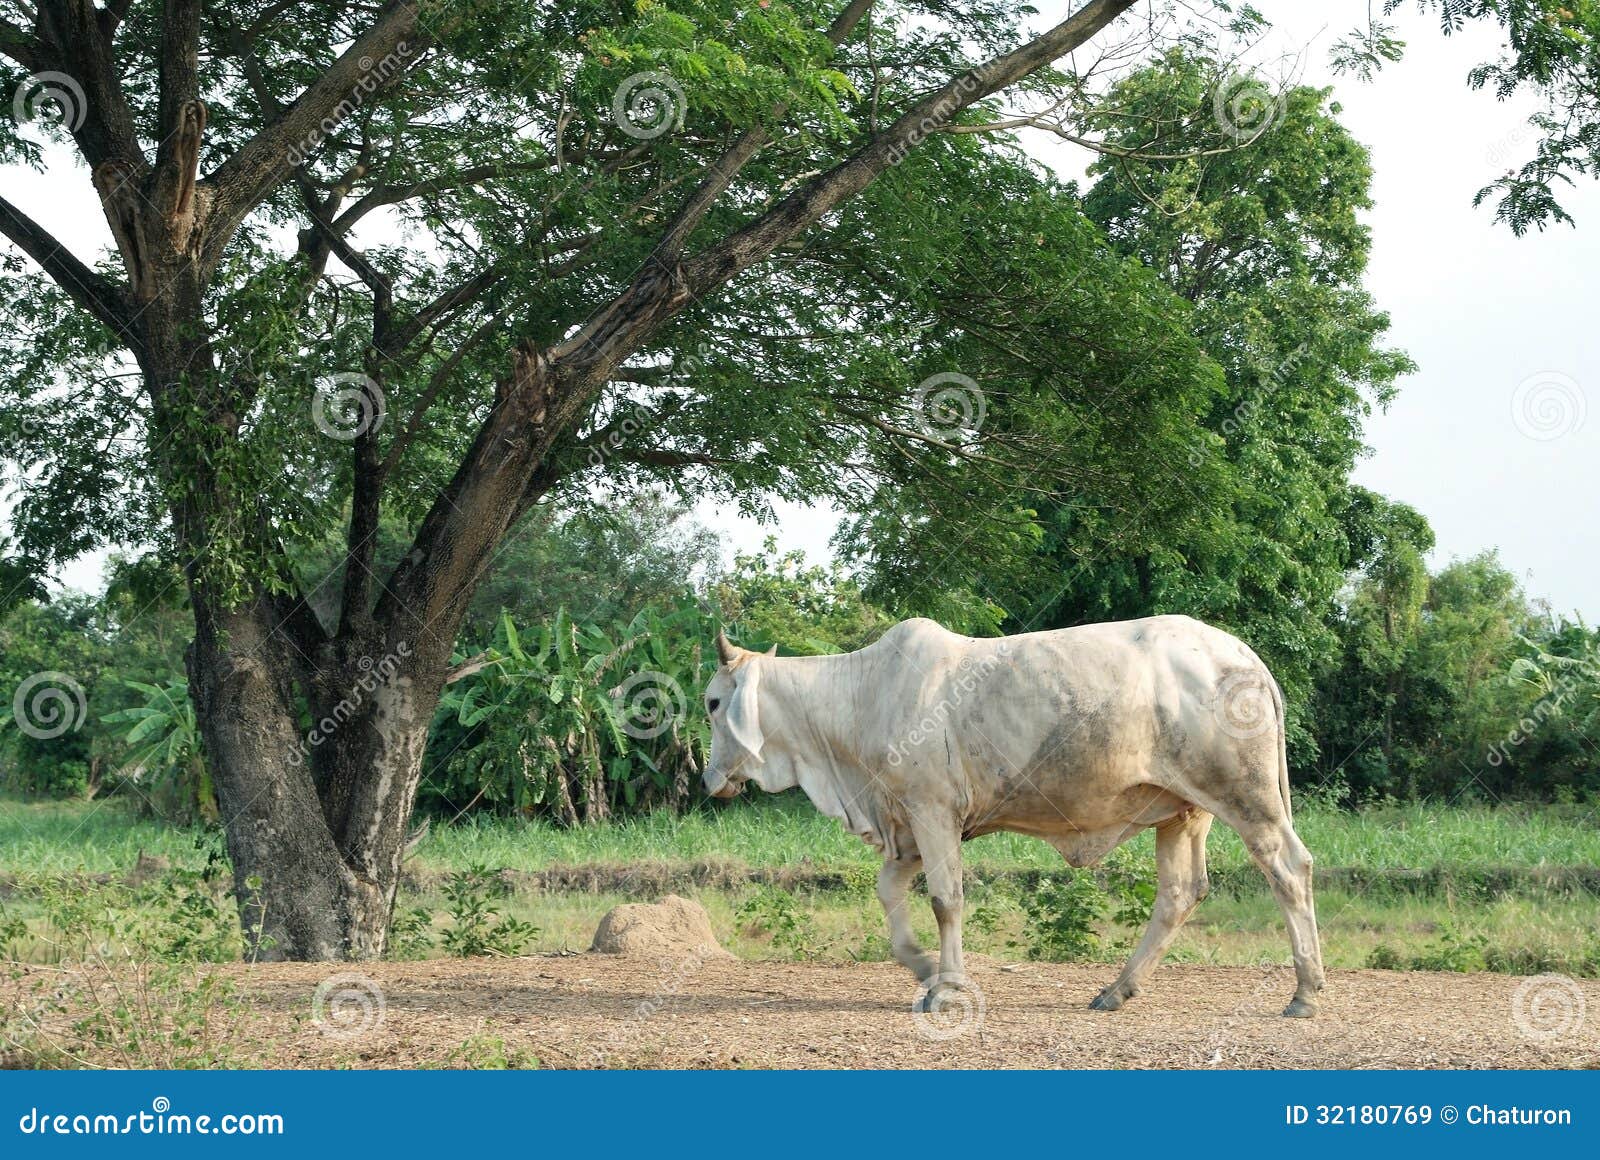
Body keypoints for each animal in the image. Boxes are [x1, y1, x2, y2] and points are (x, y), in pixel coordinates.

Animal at [701, 615, 1325, 1018]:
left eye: (711, 702)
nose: (709, 780)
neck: (860, 699)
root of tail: (1247, 656)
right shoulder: (907, 827)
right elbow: (888, 892)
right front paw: (922, 969)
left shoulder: (933, 811)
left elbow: (945, 900)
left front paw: (947, 988)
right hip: (1182, 811)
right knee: (1180, 892)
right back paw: (1116, 990)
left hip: (1246, 797)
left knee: (1289, 868)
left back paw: (1305, 992)